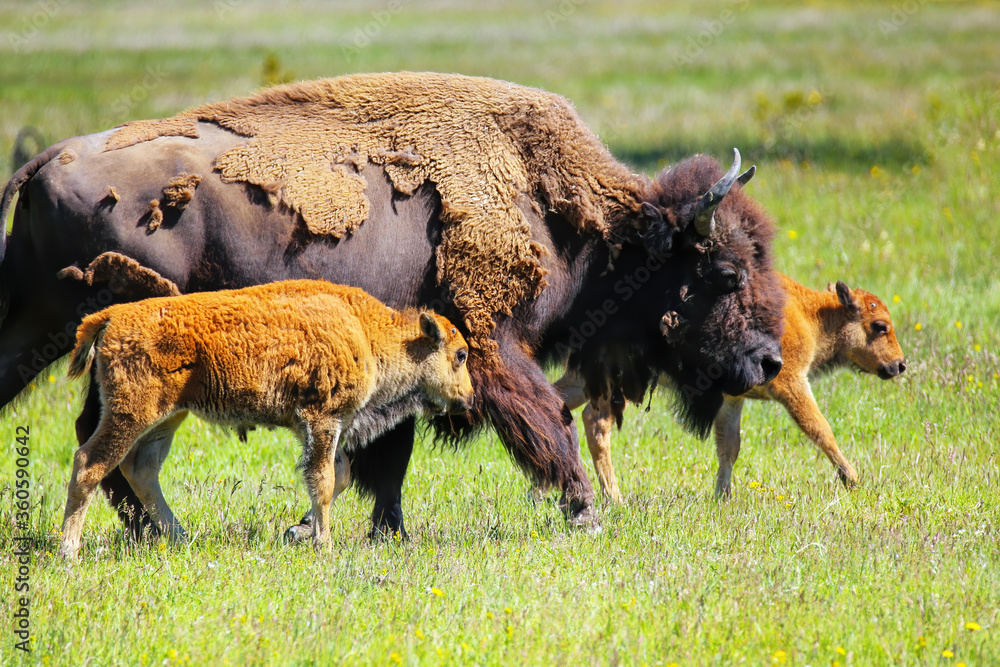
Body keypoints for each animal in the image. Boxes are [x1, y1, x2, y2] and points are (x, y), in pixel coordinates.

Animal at [57, 279, 475, 558]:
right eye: (460, 355)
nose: (468, 399)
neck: (366, 331)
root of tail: (112, 315)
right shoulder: (322, 420)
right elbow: (324, 480)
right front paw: (324, 544)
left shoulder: (315, 428)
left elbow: (338, 475)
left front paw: (299, 531)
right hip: (131, 413)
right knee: (90, 464)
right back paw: (68, 552)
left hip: (167, 418)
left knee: (141, 469)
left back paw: (181, 537)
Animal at [556, 274, 907, 500]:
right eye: (880, 326)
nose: (901, 364)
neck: (811, 315)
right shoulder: (793, 385)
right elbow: (820, 428)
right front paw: (852, 478)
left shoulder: (732, 399)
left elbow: (729, 446)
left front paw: (722, 496)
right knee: (596, 422)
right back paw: (614, 497)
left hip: (580, 379)